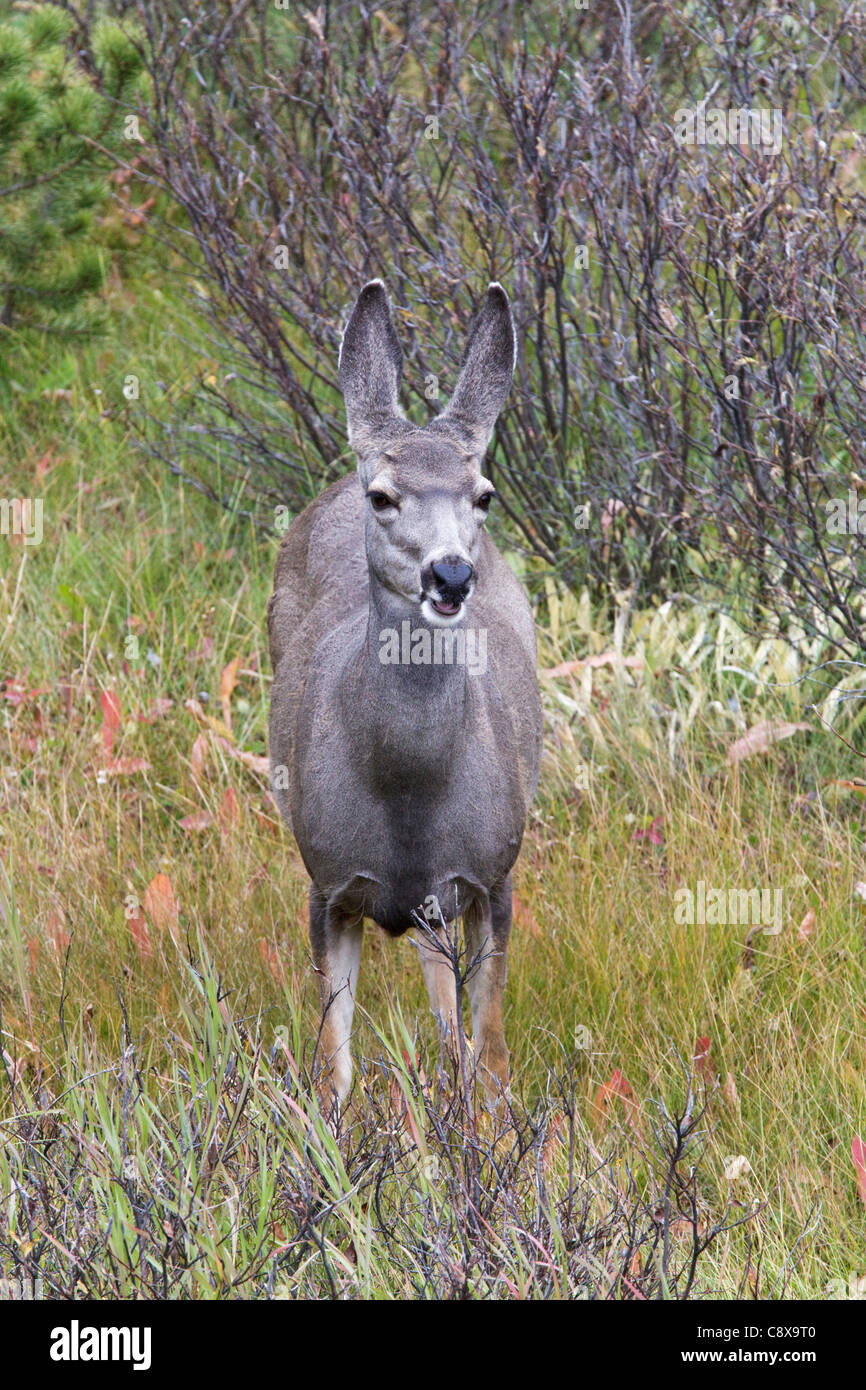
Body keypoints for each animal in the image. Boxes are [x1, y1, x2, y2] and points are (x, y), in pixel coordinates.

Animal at [267, 280, 542, 1114]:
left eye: (484, 494)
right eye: (385, 496)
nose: (450, 574)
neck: (409, 789)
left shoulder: (493, 875)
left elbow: (491, 1059)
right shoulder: (326, 884)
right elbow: (334, 1065)